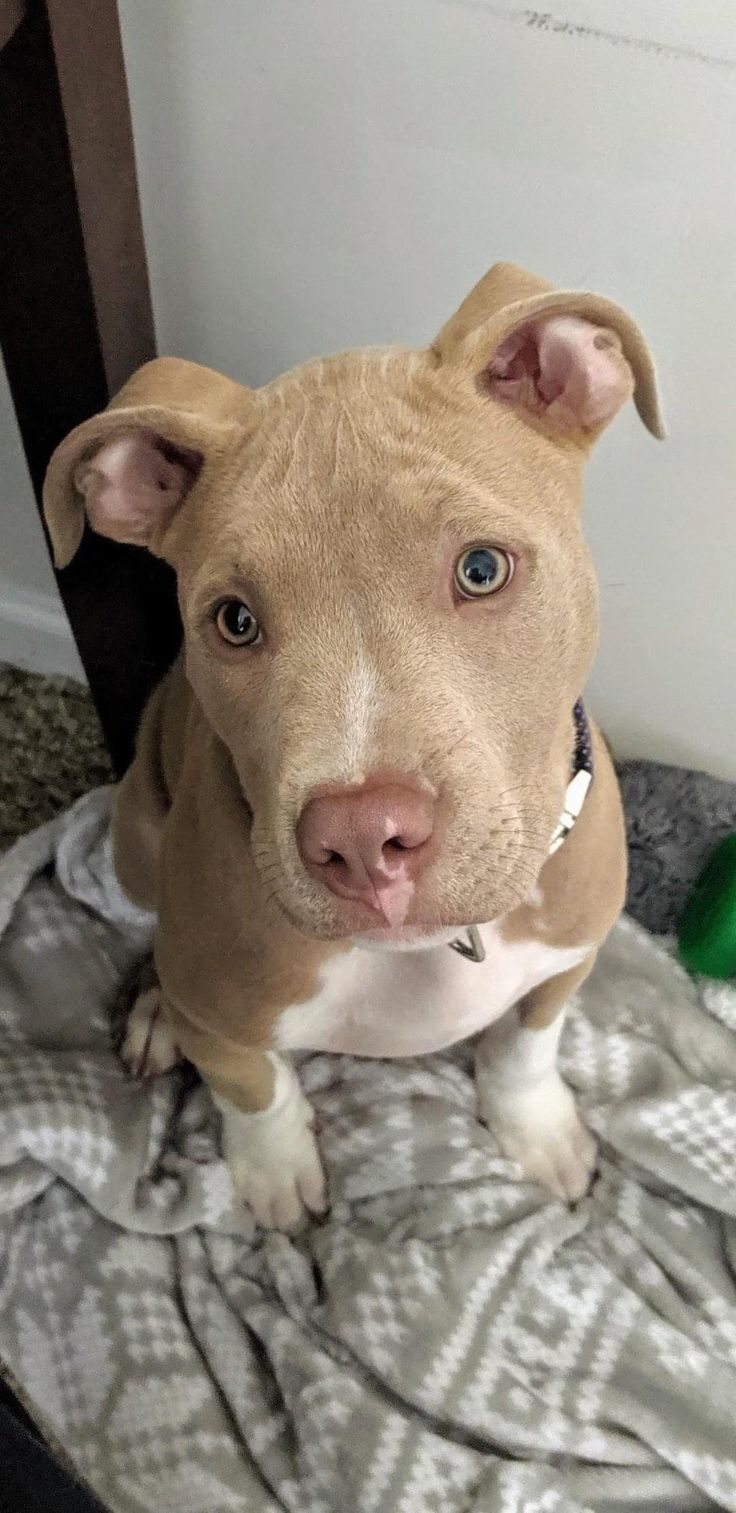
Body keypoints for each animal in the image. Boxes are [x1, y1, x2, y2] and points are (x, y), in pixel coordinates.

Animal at [43, 260, 663, 1228]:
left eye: (481, 569)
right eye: (235, 620)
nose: (364, 839)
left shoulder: (572, 952)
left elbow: (528, 1043)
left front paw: (538, 1129)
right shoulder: (224, 1010)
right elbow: (252, 1085)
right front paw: (273, 1170)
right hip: (137, 832)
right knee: (151, 932)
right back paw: (154, 1009)